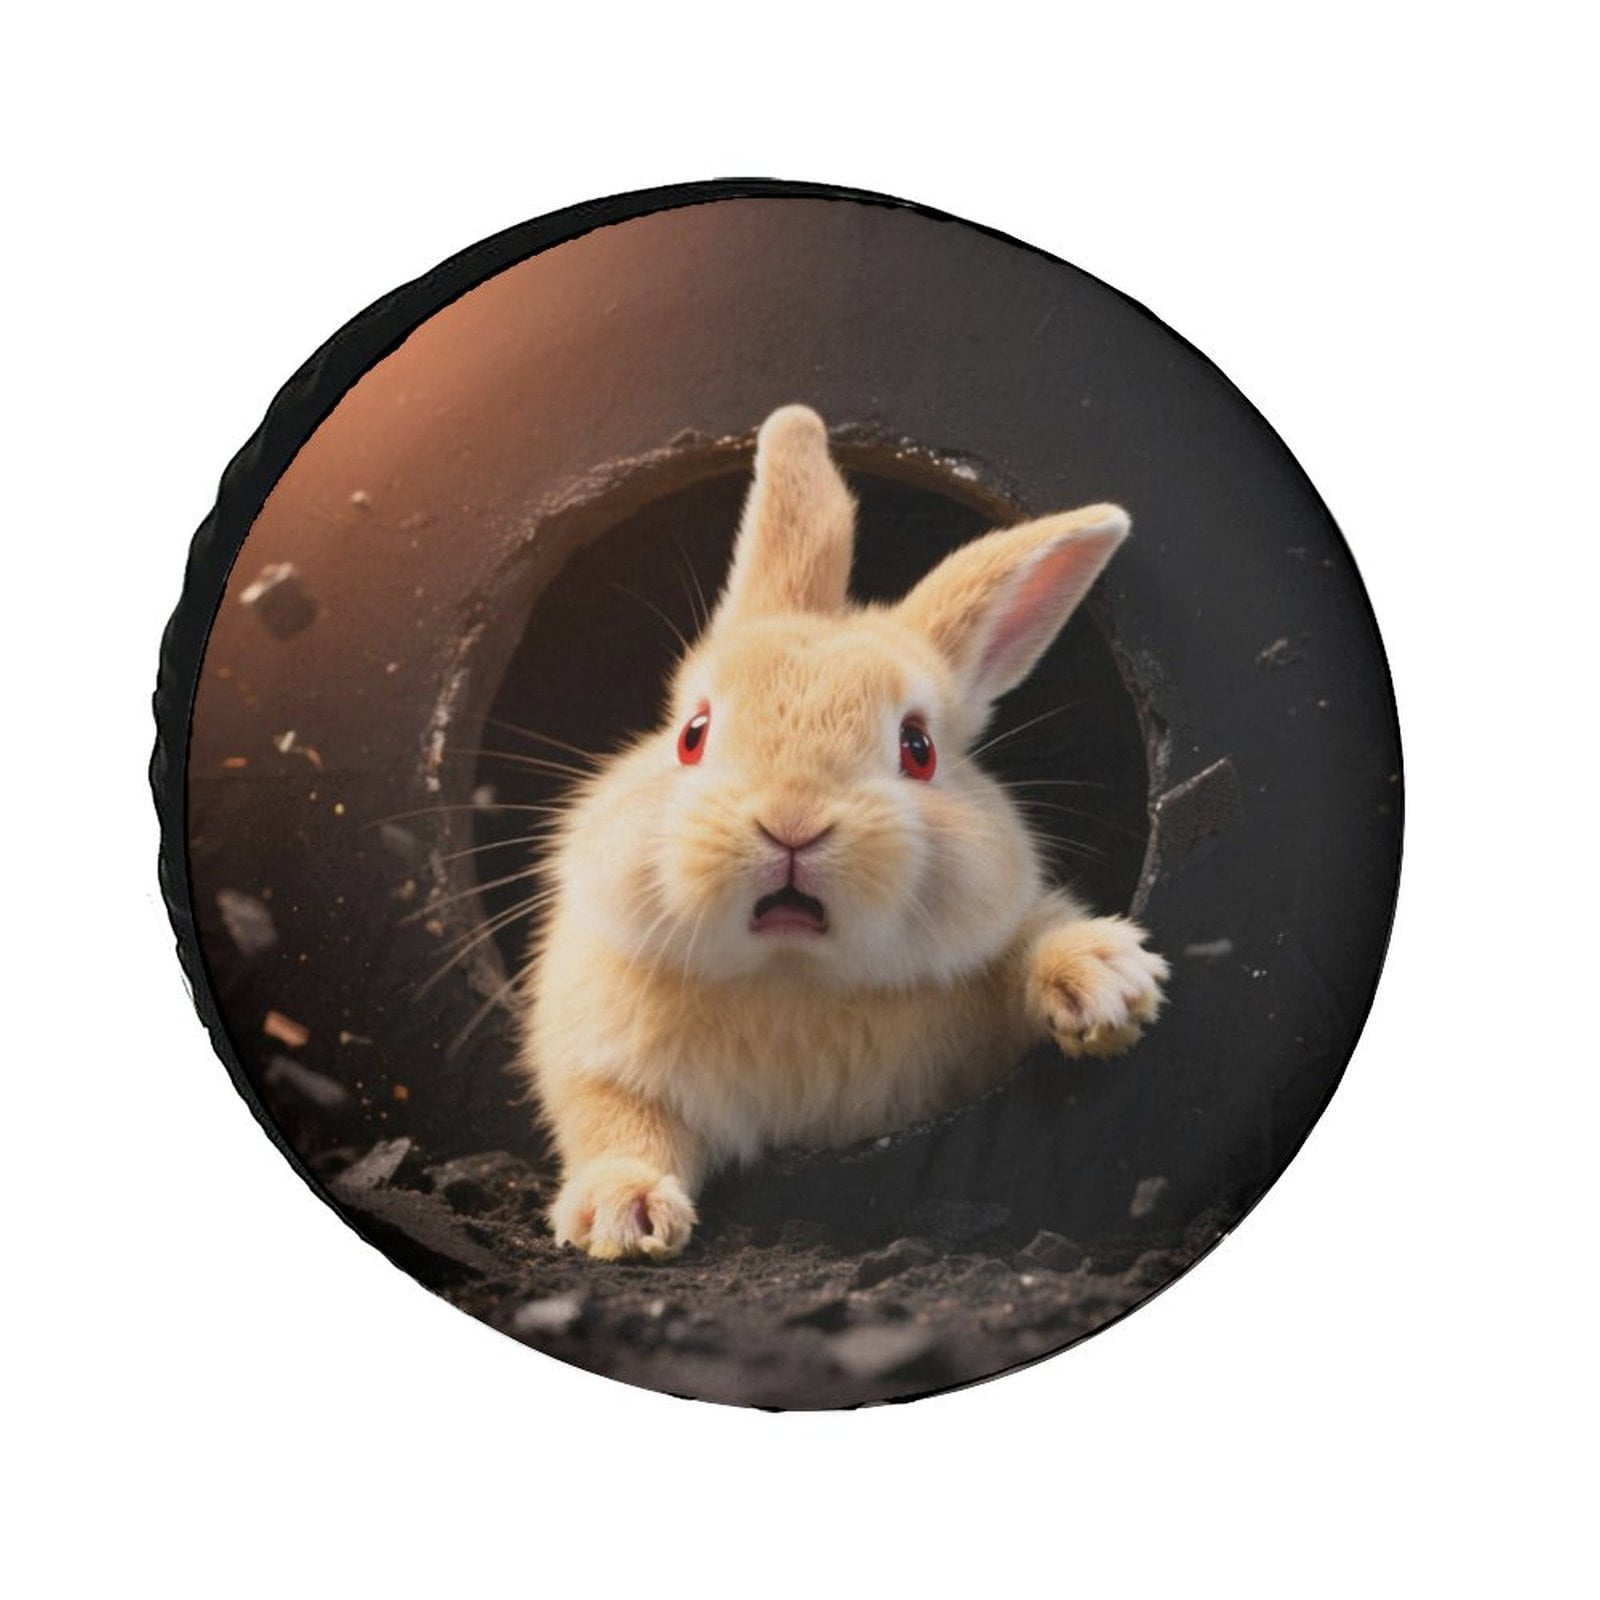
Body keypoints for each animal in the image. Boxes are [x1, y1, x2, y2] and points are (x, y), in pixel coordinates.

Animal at [518, 404, 1168, 1260]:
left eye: (919, 749)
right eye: (693, 734)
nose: (791, 823)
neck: (792, 977)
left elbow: (1033, 938)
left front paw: (1105, 985)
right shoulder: (599, 1057)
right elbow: (619, 1125)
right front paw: (624, 1217)